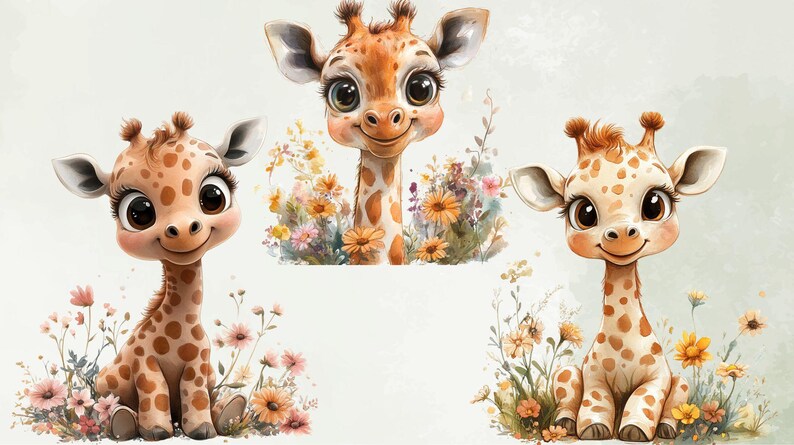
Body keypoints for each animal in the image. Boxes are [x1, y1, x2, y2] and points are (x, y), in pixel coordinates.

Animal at [52, 112, 267, 440]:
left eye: (213, 196)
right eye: (139, 213)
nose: (183, 229)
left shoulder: (198, 365)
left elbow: (197, 394)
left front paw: (202, 428)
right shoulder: (145, 364)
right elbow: (155, 391)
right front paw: (155, 430)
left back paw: (230, 409)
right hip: (106, 383)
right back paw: (123, 422)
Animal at [509, 112, 727, 441]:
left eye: (654, 204)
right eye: (584, 213)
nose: (622, 234)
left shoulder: (658, 378)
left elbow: (645, 399)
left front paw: (635, 429)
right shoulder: (593, 377)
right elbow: (594, 403)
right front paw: (594, 428)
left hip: (681, 382)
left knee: (680, 392)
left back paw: (666, 428)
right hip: (568, 371)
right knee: (566, 390)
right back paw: (564, 424)